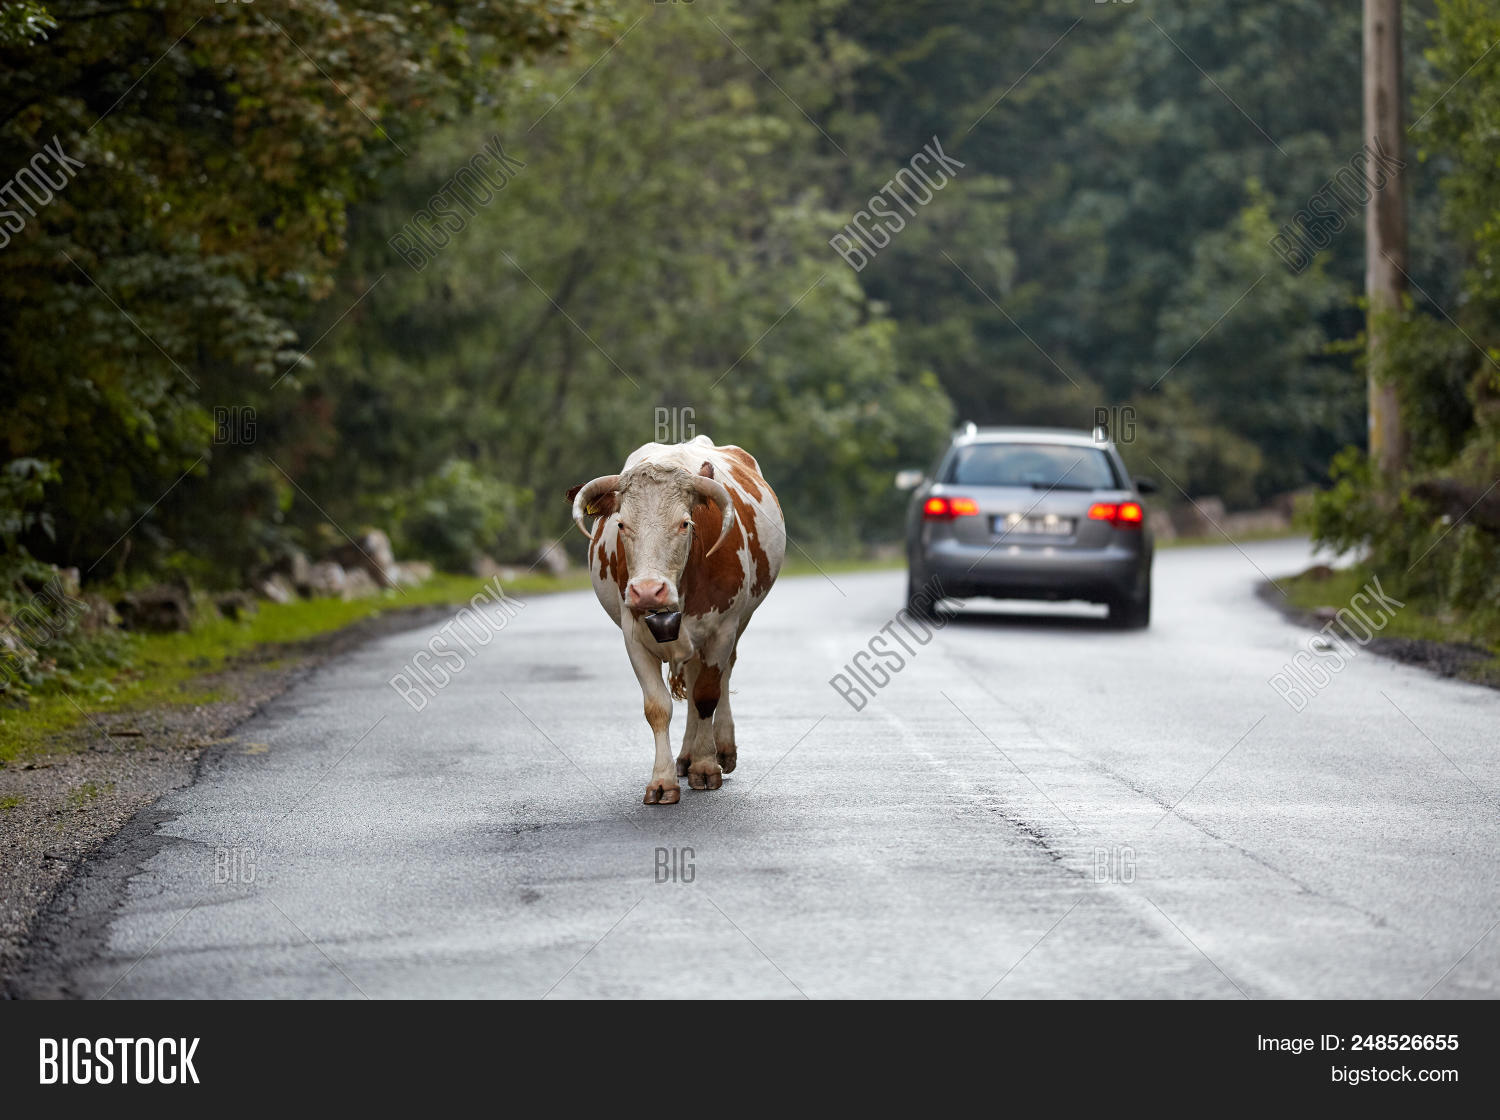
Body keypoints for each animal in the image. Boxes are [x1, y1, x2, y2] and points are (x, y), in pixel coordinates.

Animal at [567, 436, 784, 805]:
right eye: (621, 524)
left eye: (684, 523)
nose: (647, 591)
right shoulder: (634, 636)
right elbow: (657, 707)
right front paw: (662, 781)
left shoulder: (721, 631)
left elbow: (707, 696)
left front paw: (706, 767)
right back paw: (685, 757)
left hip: (738, 623)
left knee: (719, 679)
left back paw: (720, 750)